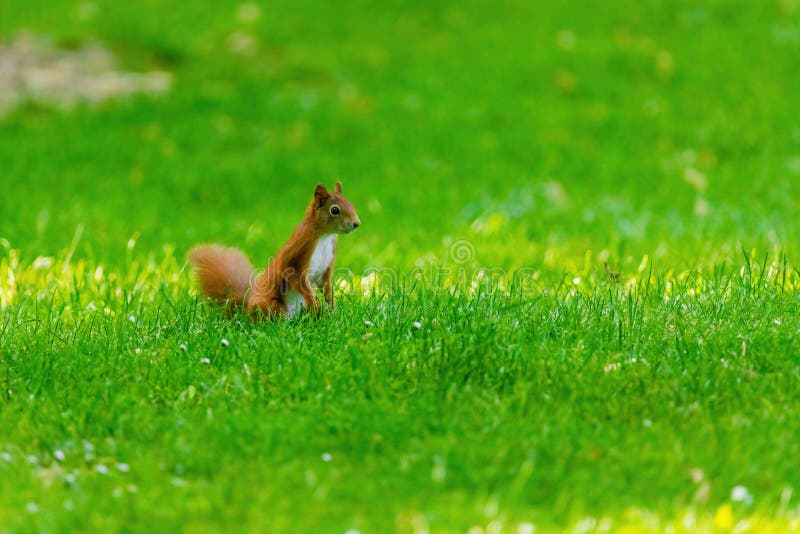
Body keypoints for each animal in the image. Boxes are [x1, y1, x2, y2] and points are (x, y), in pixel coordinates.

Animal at [188, 182, 361, 319]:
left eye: (352, 205)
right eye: (334, 210)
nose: (356, 224)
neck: (325, 236)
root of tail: (244, 312)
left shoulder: (326, 267)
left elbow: (326, 287)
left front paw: (332, 310)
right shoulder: (297, 254)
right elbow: (296, 278)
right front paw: (315, 303)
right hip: (273, 306)